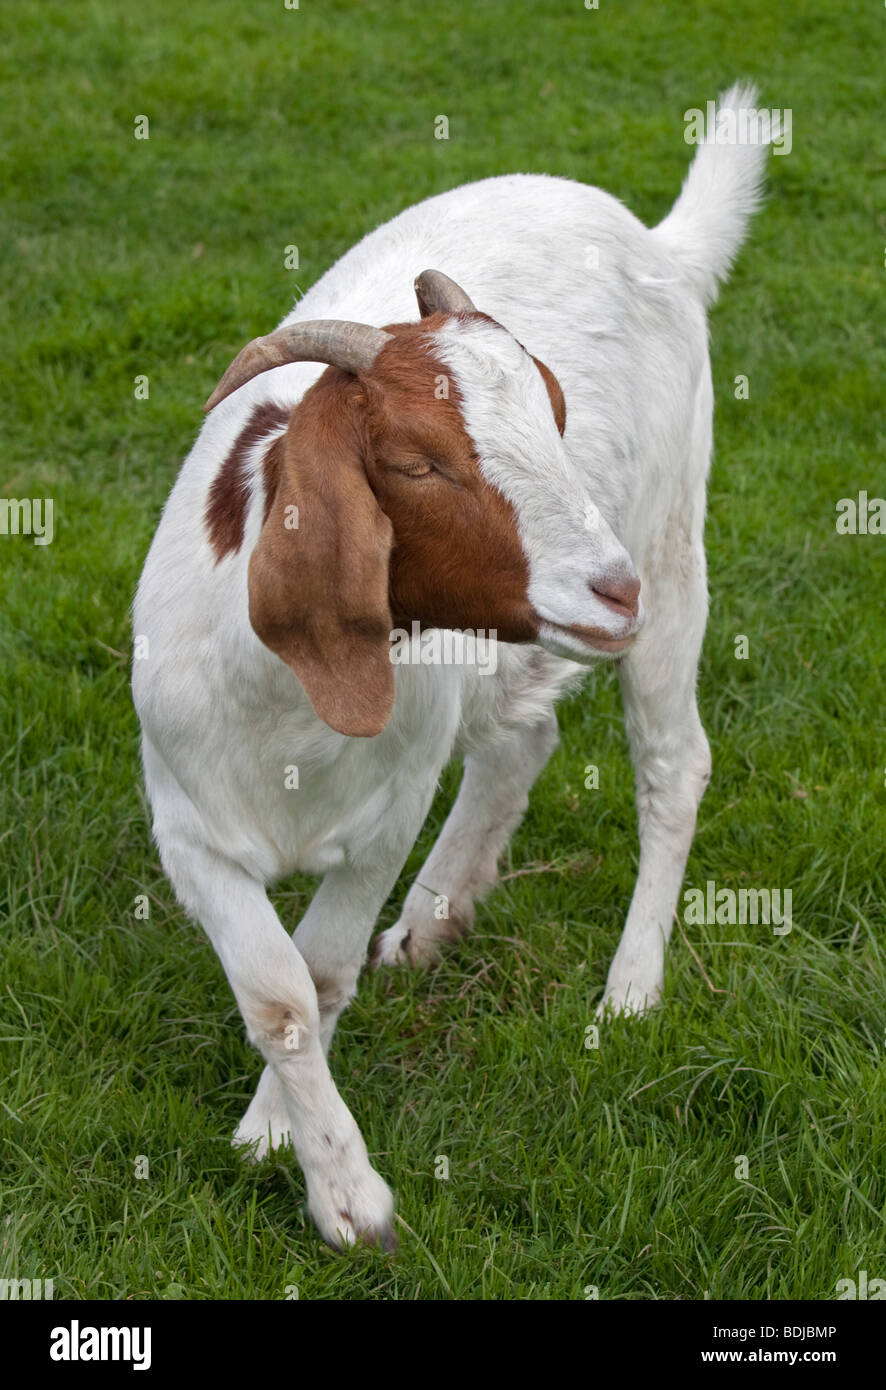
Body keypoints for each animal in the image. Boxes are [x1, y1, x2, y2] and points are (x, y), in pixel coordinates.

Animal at [132, 85, 775, 1251]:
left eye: (556, 414)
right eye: (418, 463)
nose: (611, 590)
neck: (292, 711)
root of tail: (656, 240)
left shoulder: (383, 817)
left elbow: (318, 970)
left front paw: (322, 1176)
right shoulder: (188, 822)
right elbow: (276, 992)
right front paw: (308, 1158)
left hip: (674, 538)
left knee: (673, 763)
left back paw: (630, 987)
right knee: (524, 735)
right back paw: (436, 919)